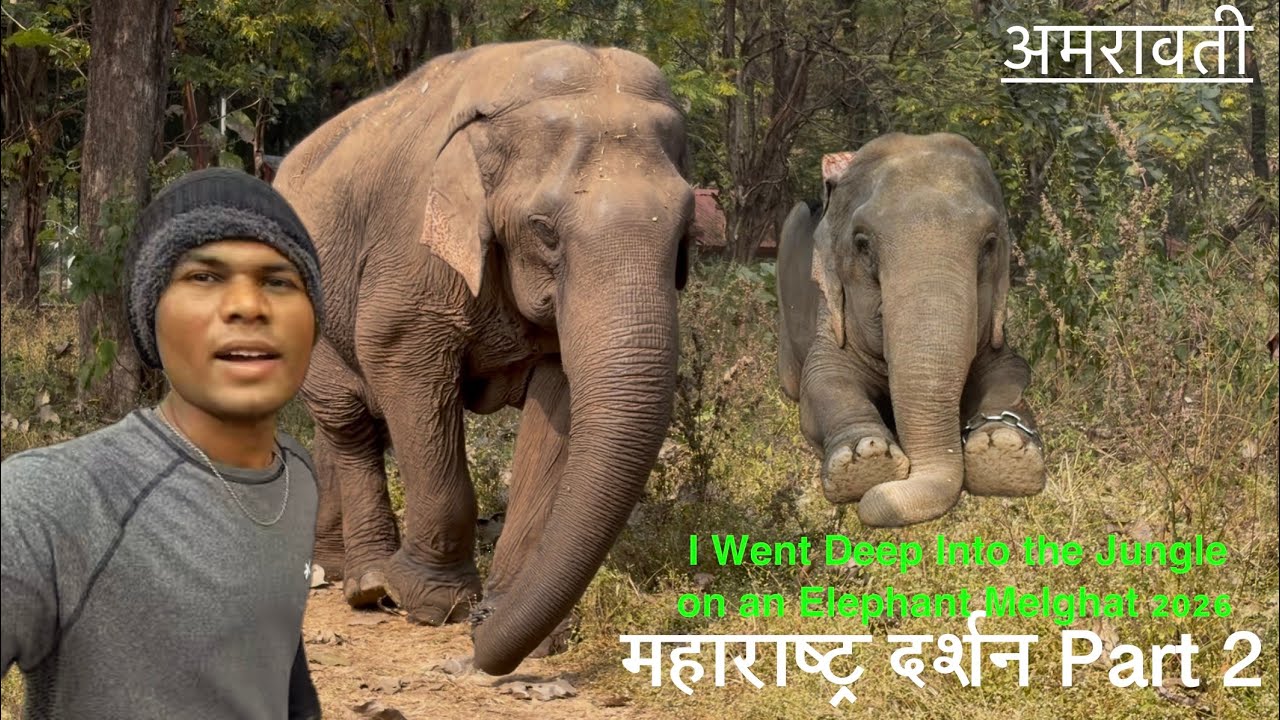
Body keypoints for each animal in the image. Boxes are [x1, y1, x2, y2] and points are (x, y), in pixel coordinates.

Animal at [274, 40, 694, 675]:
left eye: (684, 233)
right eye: (544, 230)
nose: (477, 638)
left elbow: (558, 410)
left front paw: (526, 627)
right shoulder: (411, 256)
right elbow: (402, 365)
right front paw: (434, 604)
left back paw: (335, 568)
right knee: (349, 418)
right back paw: (368, 584)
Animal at [776, 133, 1046, 528]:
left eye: (990, 243)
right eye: (863, 245)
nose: (872, 503)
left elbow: (1010, 368)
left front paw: (1005, 450)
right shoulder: (830, 313)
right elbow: (825, 379)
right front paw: (864, 460)